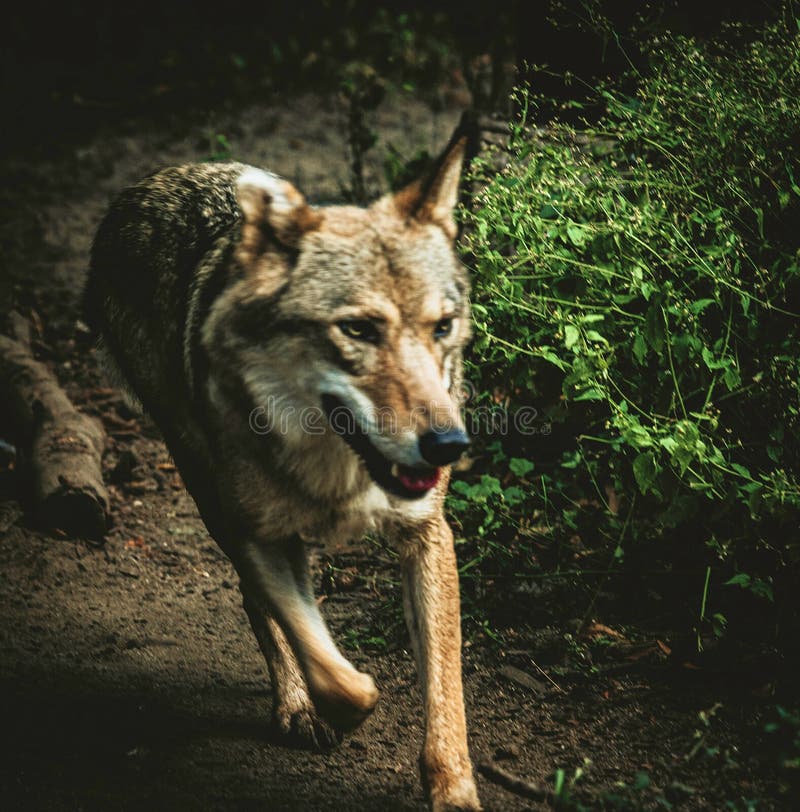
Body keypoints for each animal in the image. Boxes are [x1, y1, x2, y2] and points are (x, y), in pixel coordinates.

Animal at [84, 130, 481, 811]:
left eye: (442, 326)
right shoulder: (258, 535)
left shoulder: (428, 534)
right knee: (258, 605)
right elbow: (340, 677)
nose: (447, 445)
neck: (339, 471)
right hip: (207, 491)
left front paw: (454, 792)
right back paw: (296, 707)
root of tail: (149, 182)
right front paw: (340, 703)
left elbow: (445, 690)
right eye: (358, 329)